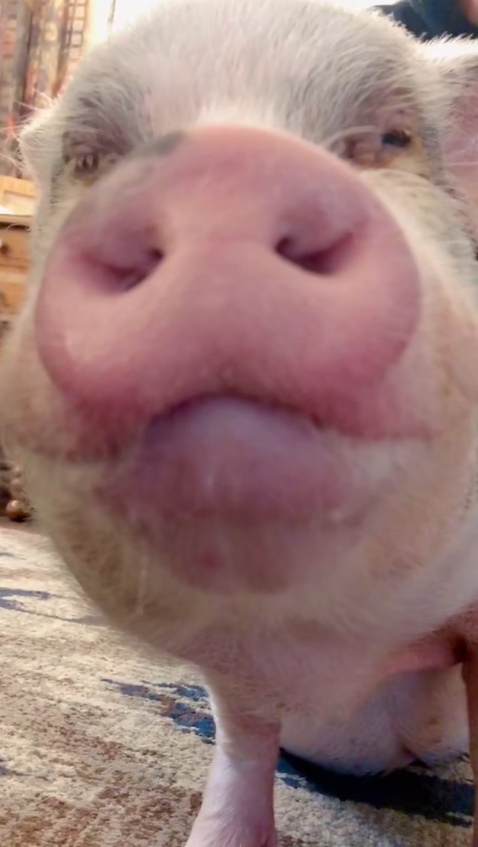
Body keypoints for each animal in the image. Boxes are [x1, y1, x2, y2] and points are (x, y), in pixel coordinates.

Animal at [4, 0, 478, 843]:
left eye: (393, 139)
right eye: (92, 160)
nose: (222, 166)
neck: (324, 646)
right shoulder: (234, 672)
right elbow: (243, 745)